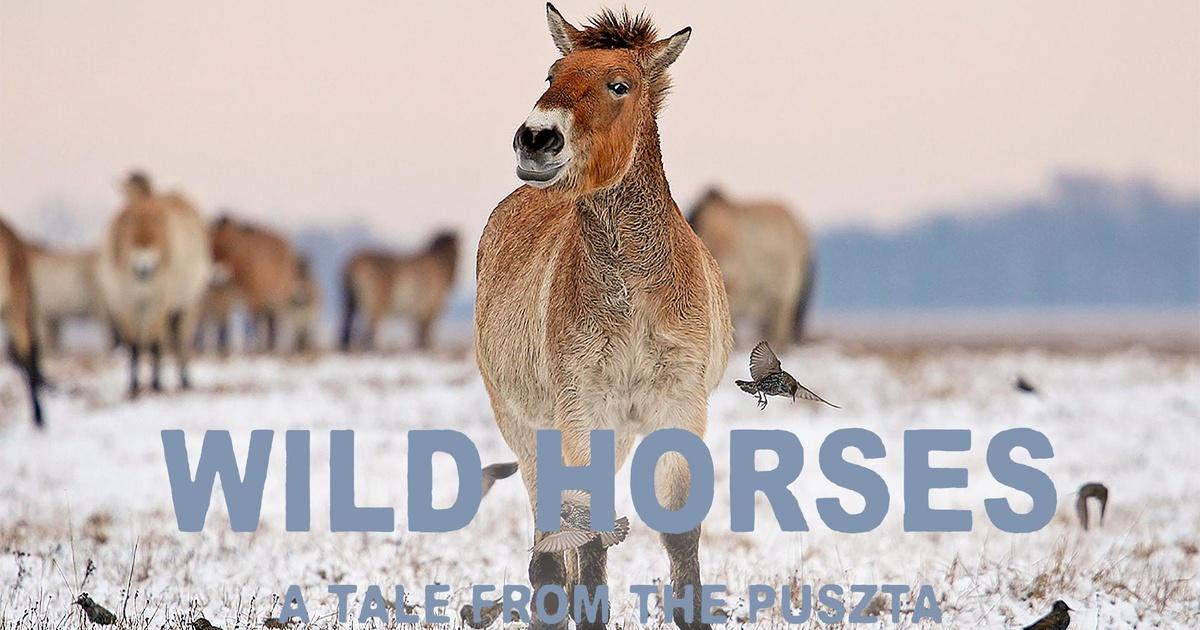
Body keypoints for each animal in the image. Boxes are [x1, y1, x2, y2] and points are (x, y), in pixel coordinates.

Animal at [97, 172, 212, 396]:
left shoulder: (158, 302)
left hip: (188, 305)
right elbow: (133, 344)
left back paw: (184, 380)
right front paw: (133, 385)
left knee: (181, 341)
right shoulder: (124, 302)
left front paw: (156, 384)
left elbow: (155, 343)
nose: (144, 269)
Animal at [474, 6, 731, 629]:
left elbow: (678, 528)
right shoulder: (581, 411)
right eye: (552, 74)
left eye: (620, 85)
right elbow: (586, 534)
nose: (536, 139)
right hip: (529, 431)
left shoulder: (678, 405)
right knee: (549, 544)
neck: (633, 293)